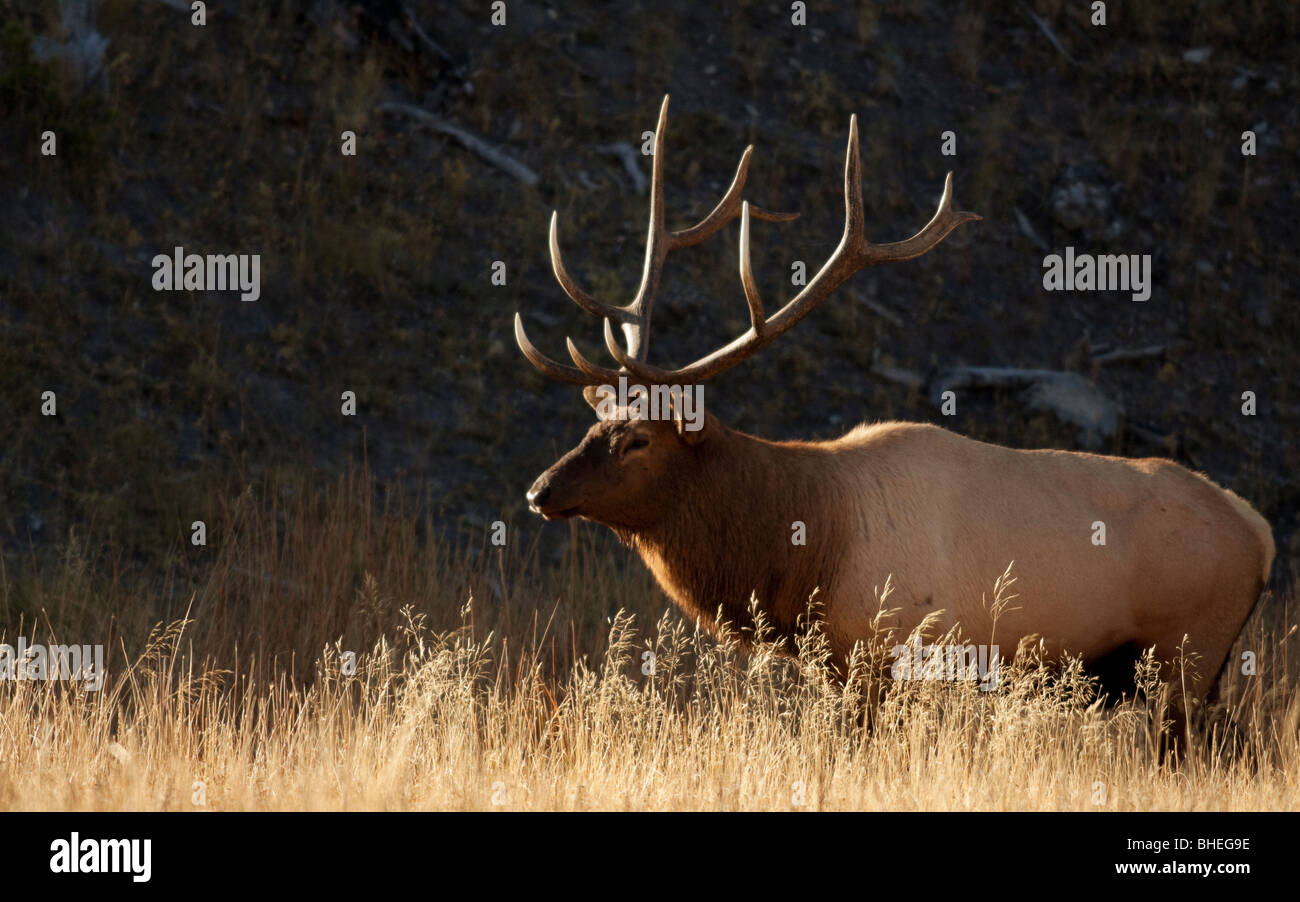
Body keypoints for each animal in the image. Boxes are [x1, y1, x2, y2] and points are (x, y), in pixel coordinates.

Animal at [515, 96, 1275, 745]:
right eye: (593, 425)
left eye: (638, 439)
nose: (539, 491)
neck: (804, 547)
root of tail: (1261, 535)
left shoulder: (883, 655)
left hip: (1186, 657)